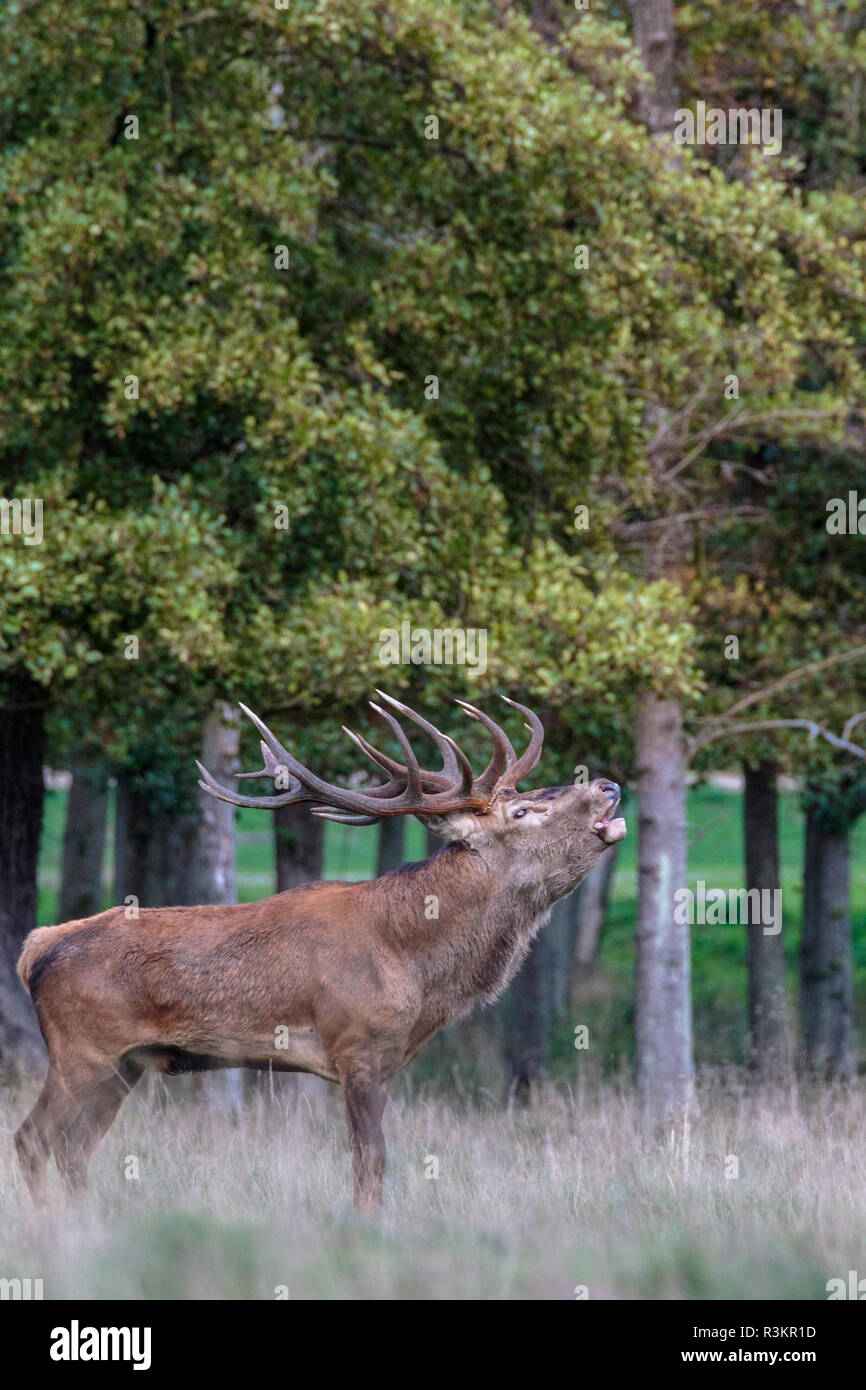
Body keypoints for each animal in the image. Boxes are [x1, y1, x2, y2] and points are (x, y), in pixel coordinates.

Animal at [15, 693, 625, 1208]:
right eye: (522, 813)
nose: (609, 786)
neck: (417, 969)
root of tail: (35, 948)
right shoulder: (356, 1044)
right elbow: (370, 1161)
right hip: (81, 1049)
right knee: (32, 1139)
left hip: (127, 1063)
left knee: (73, 1151)